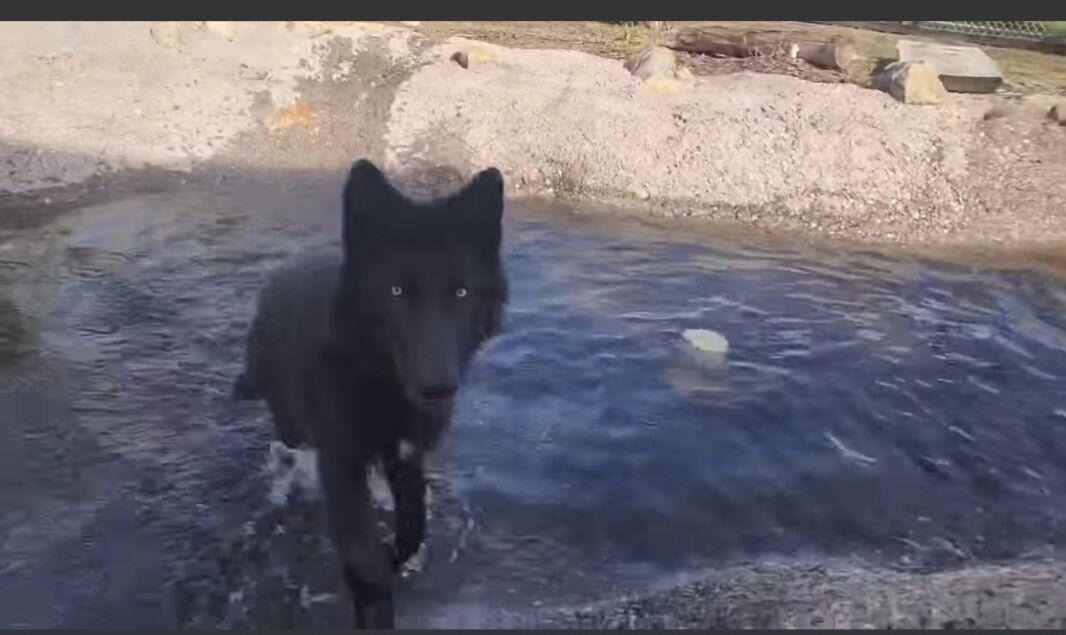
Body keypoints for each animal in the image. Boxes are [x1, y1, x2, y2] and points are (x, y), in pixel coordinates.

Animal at [234, 159, 508, 628]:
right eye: (396, 292)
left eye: (461, 291)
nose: (437, 388)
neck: (382, 384)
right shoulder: (340, 462)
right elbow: (362, 556)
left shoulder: (407, 453)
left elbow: (413, 523)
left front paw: (397, 555)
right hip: (292, 424)